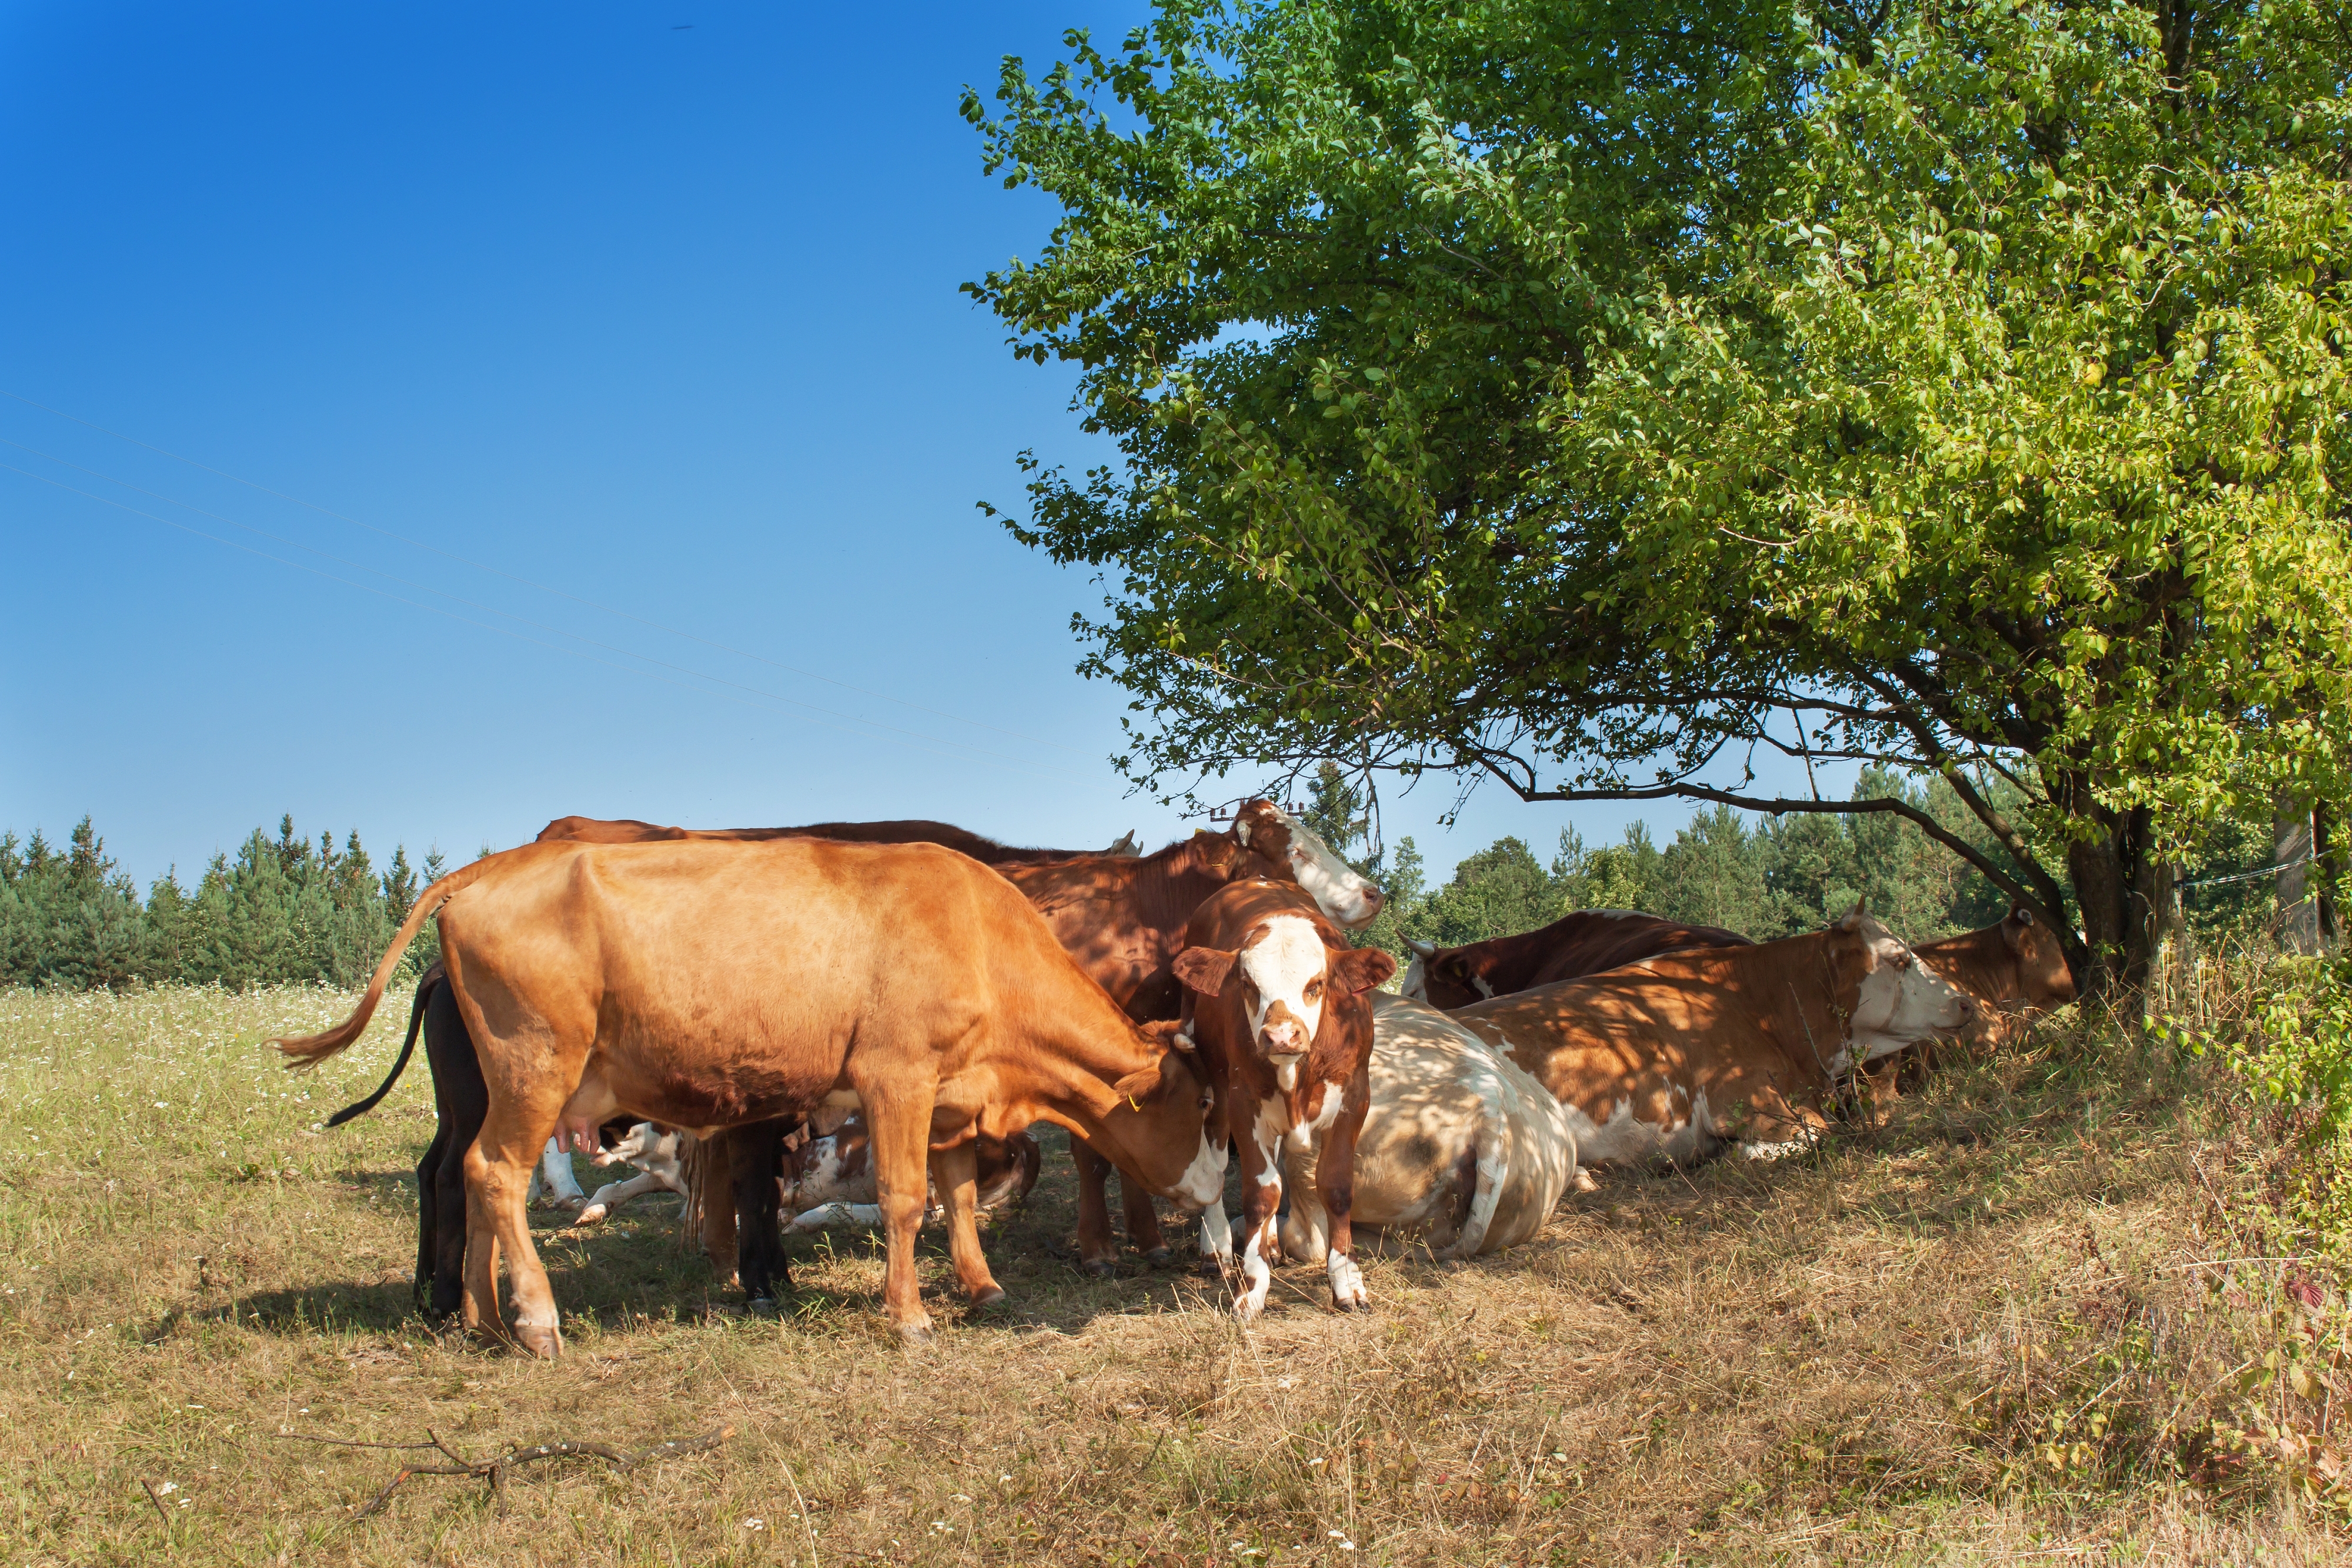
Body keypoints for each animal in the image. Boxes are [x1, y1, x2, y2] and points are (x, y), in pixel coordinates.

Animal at [279, 836, 1226, 1354]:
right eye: (1202, 1110)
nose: (1218, 1191)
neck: (983, 938)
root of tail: (491, 868)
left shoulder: (953, 1091)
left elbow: (955, 1195)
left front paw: (981, 1286)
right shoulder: (897, 1076)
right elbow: (904, 1196)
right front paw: (910, 1316)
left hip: (494, 1086)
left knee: (471, 1177)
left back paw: (480, 1317)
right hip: (533, 1066)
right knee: (497, 1174)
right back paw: (536, 1320)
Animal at [1172, 880, 1397, 1318]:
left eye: (1316, 985)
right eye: (1248, 986)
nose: (1280, 1036)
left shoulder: (1355, 1098)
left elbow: (1337, 1186)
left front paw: (1347, 1282)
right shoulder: (1244, 1104)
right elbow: (1261, 1192)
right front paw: (1252, 1287)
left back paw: (1272, 1244)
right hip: (1216, 1082)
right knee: (1218, 1162)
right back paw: (1216, 1247)